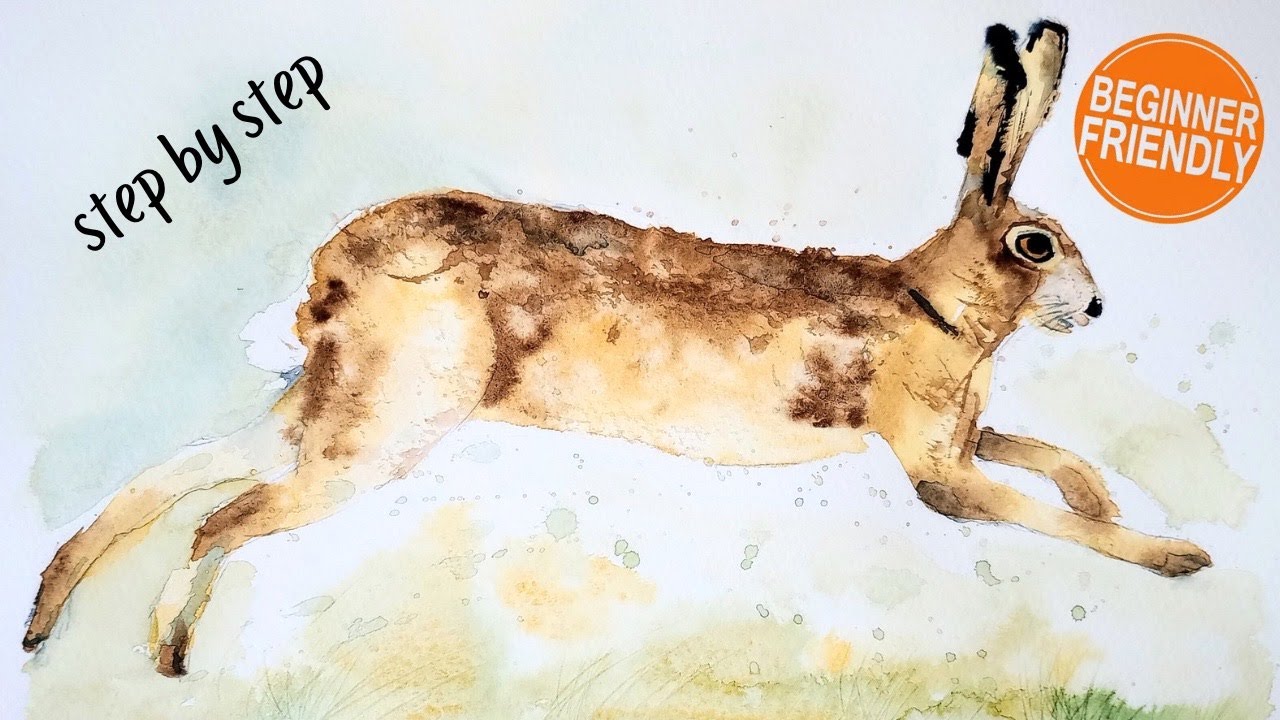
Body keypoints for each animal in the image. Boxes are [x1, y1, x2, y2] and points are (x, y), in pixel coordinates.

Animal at [23, 20, 1211, 677]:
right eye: (1034, 243)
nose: (1096, 307)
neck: (936, 302)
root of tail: (328, 279)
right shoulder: (936, 469)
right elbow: (1022, 507)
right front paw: (1176, 559)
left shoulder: (960, 435)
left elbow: (1048, 460)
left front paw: (1109, 497)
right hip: (378, 433)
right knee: (219, 514)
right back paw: (167, 655)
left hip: (339, 414)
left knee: (180, 483)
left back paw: (47, 625)